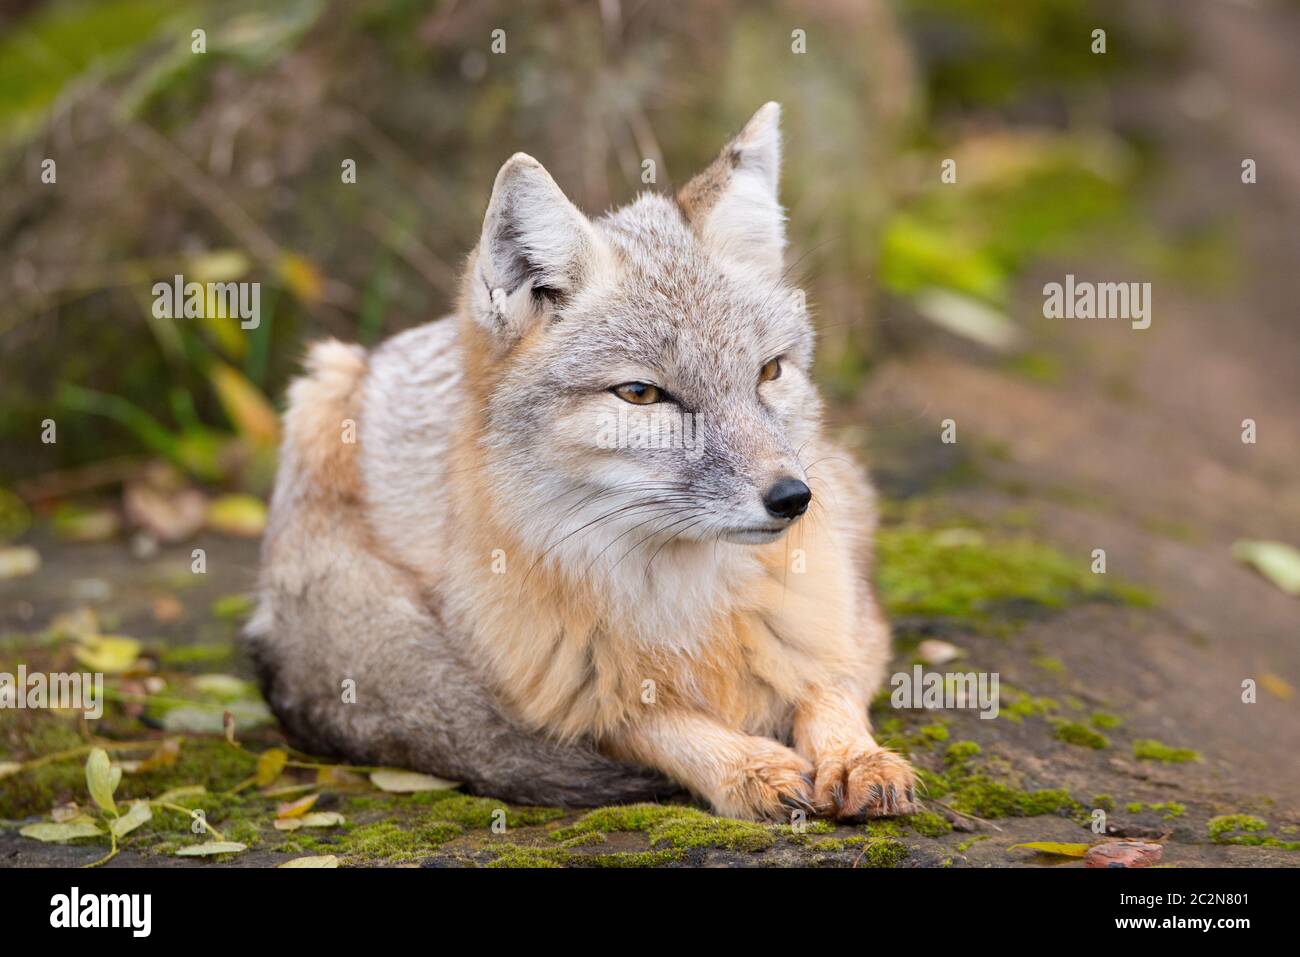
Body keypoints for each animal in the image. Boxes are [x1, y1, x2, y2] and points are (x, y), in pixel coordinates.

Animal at [246, 102, 918, 820]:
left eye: (769, 372)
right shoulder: (564, 698)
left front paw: (858, 757)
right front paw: (748, 764)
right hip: (319, 391)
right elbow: (659, 722)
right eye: (641, 394)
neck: (690, 602)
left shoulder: (857, 626)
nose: (793, 498)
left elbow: (828, 689)